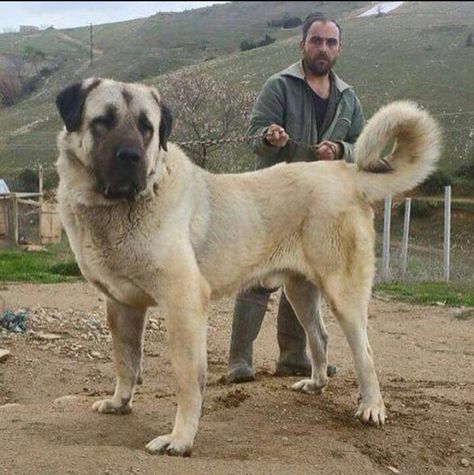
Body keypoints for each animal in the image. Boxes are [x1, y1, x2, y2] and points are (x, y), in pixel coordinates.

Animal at [54, 78, 440, 458]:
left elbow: (187, 380)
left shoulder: (183, 305)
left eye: (146, 127)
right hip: (300, 290)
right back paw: (316, 383)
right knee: (319, 335)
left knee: (365, 352)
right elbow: (126, 360)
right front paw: (120, 402)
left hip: (343, 293)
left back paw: (372, 407)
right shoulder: (122, 307)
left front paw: (180, 439)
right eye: (103, 121)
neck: (121, 208)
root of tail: (346, 175)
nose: (131, 157)